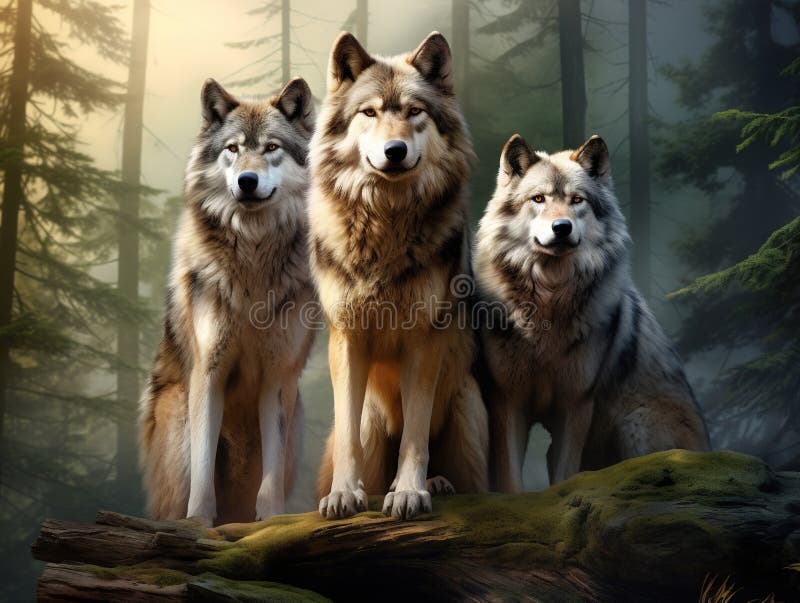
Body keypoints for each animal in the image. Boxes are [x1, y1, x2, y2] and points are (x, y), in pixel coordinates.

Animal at [139, 77, 316, 524]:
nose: (247, 181)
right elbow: (203, 474)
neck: (253, 257)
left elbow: (271, 478)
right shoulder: (209, 372)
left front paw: (272, 522)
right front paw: (199, 522)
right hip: (178, 432)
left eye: (271, 147)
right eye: (233, 148)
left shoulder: (278, 379)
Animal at [308, 31, 489, 520]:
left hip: (468, 408)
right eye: (370, 112)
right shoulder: (346, 339)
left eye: (414, 112)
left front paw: (409, 492)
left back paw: (438, 484)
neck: (386, 225)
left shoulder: (423, 340)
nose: (395, 151)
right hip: (373, 417)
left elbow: (415, 433)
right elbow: (348, 435)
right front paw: (343, 494)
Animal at [475, 134, 710, 492]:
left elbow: (565, 476)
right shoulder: (508, 402)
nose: (561, 227)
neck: (550, 301)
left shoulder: (576, 405)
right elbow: (511, 480)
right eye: (538, 199)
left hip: (636, 422)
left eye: (577, 200)